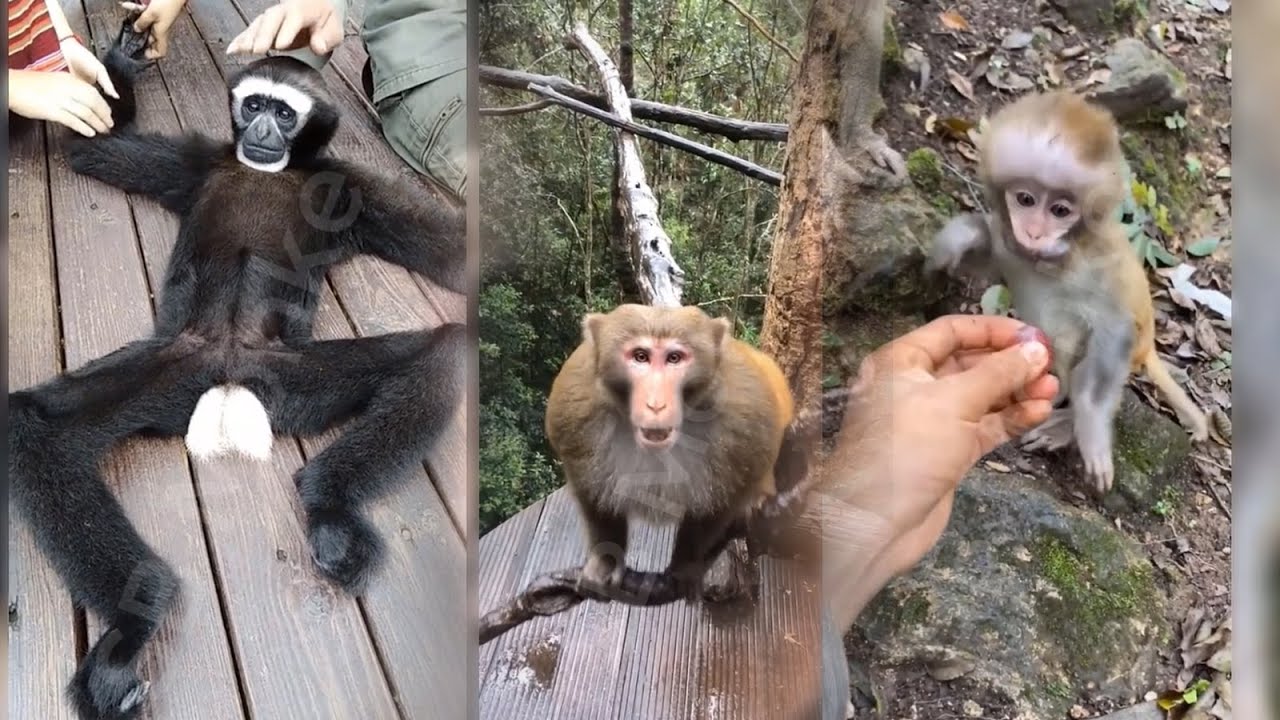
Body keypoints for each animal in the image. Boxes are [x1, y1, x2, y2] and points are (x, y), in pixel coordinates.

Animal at [8, 18, 465, 720]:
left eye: (284, 112)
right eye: (254, 106)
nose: (264, 132)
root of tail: (227, 370)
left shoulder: (352, 189)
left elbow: (452, 254)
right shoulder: (201, 163)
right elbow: (92, 148)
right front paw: (125, 58)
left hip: (288, 374)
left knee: (447, 353)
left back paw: (328, 505)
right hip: (173, 365)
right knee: (31, 425)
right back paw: (134, 623)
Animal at [544, 304, 796, 599]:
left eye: (674, 358)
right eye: (640, 356)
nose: (656, 404)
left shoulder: (744, 423)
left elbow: (719, 504)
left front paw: (685, 565)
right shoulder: (575, 413)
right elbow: (593, 495)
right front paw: (606, 560)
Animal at [926, 90, 1208, 494]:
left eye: (1060, 210)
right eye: (1025, 200)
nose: (1034, 232)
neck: (1054, 257)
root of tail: (1150, 348)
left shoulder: (1097, 269)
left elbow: (1114, 330)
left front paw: (1088, 427)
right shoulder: (1010, 248)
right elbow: (986, 262)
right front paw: (959, 237)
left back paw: (1065, 417)